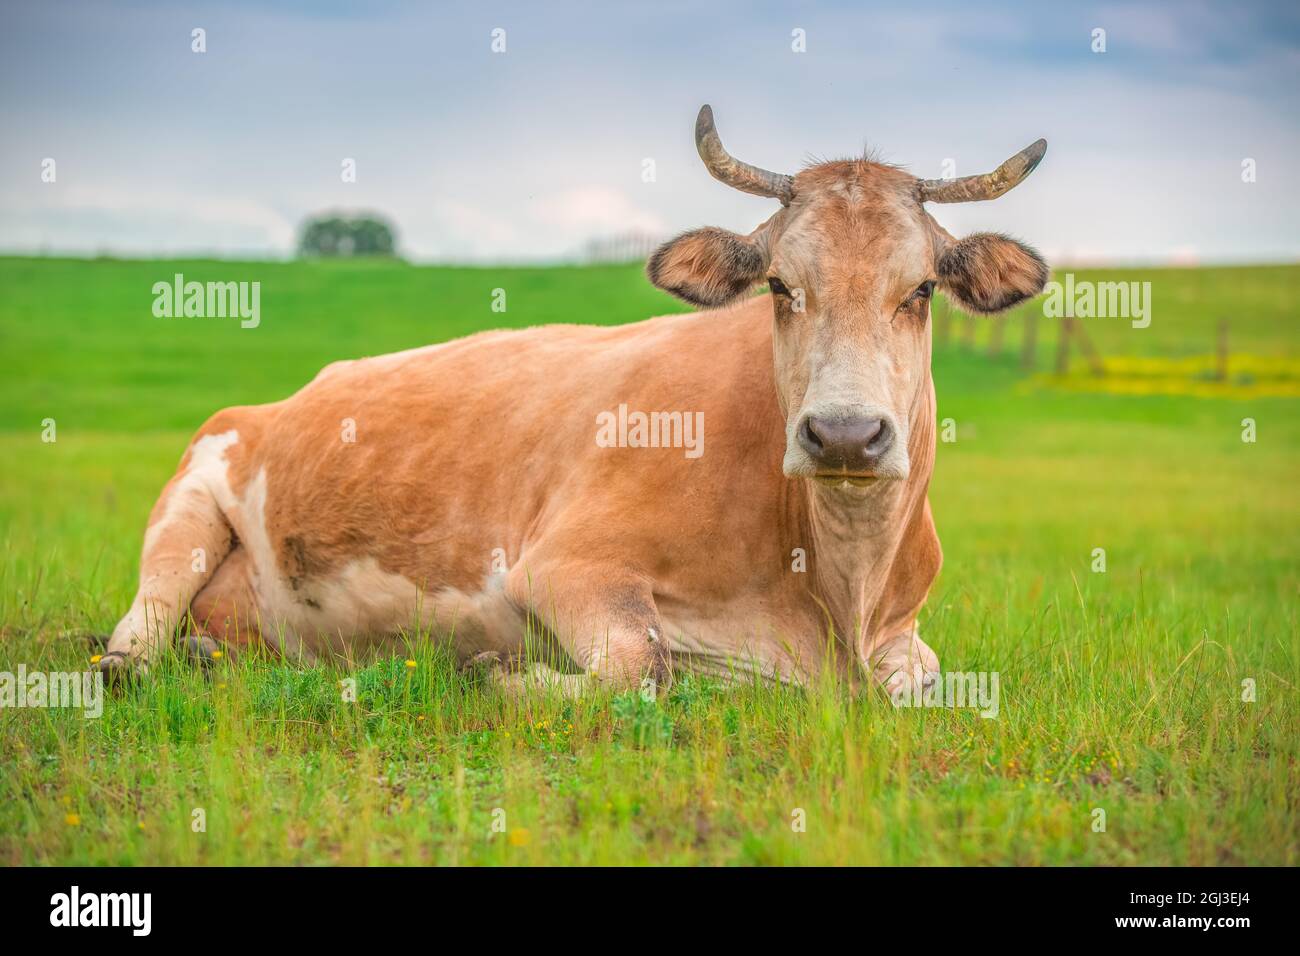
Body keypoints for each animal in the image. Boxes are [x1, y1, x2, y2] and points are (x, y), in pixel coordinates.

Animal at [100, 106, 1048, 700]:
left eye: (921, 289)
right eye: (780, 286)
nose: (845, 435)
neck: (838, 581)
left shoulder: (905, 637)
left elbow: (922, 683)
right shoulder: (566, 565)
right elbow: (643, 669)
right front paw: (494, 674)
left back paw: (217, 652)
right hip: (193, 491)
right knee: (140, 629)